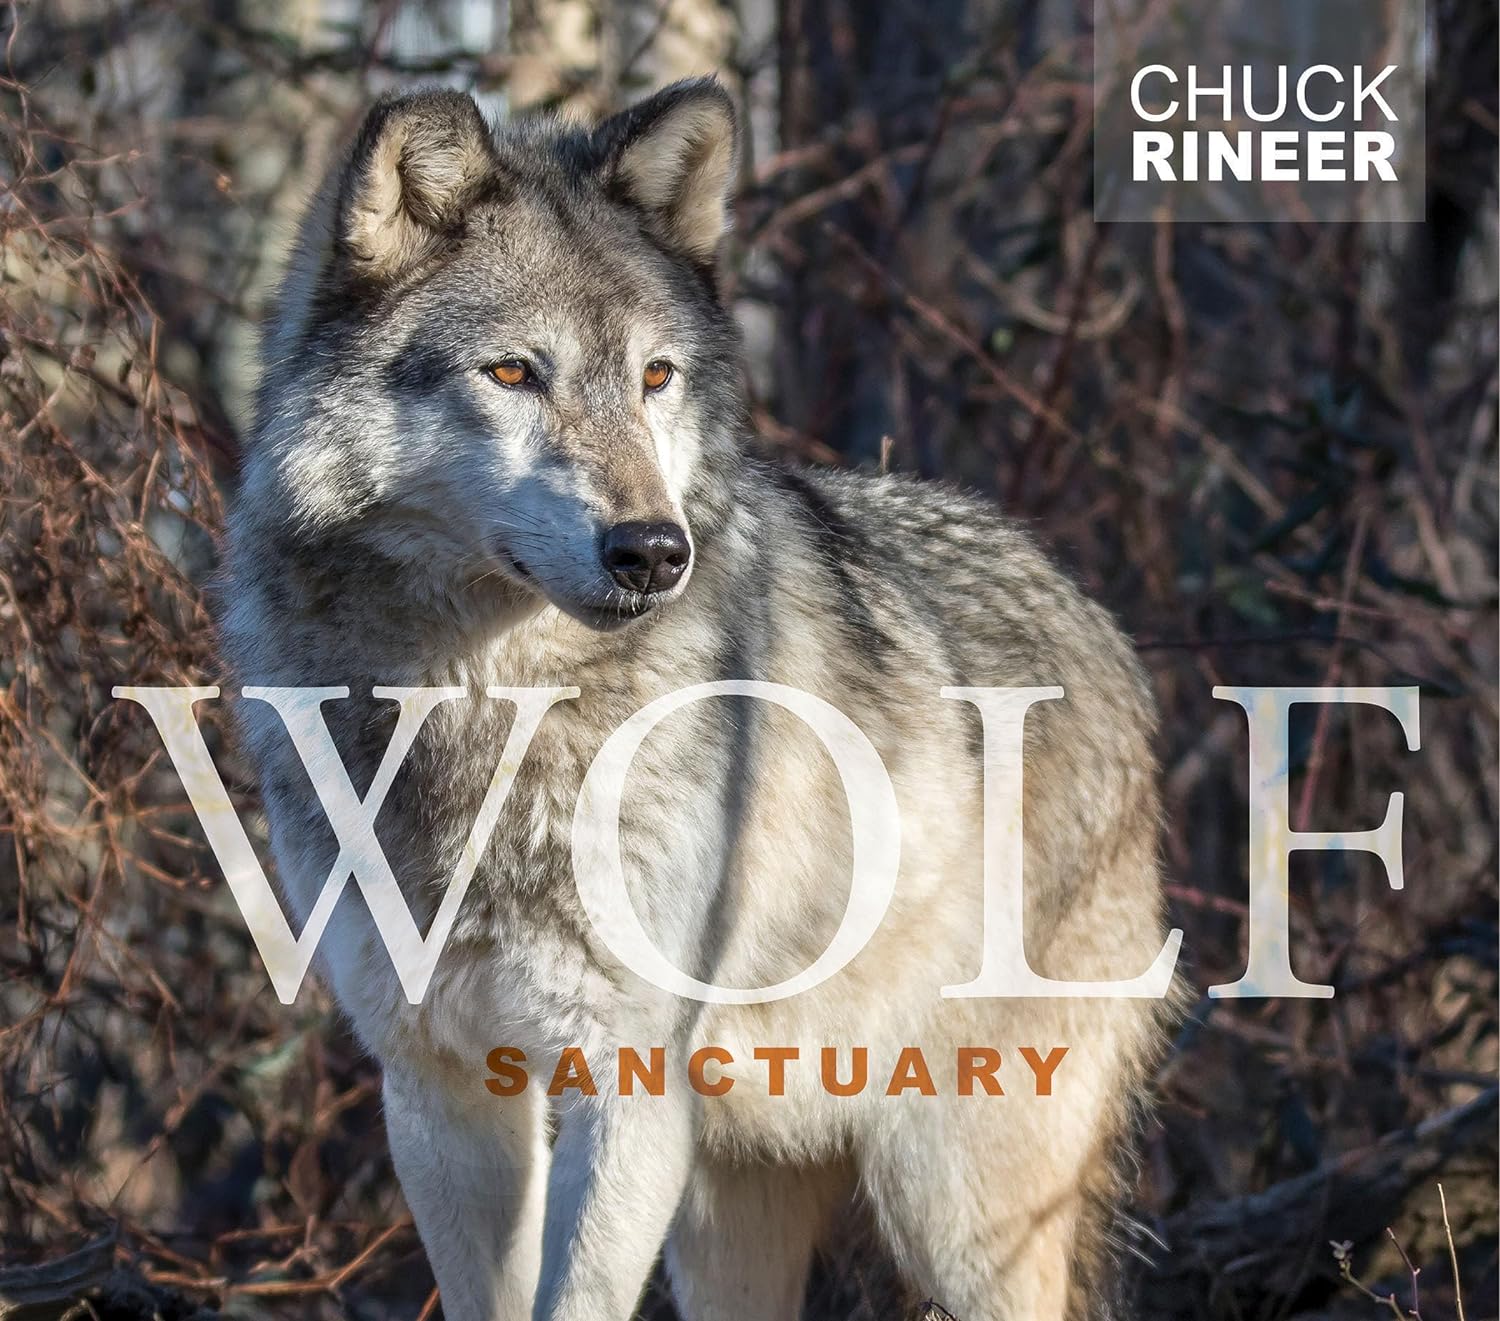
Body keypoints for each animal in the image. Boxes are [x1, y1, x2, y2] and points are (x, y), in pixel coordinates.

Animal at [218, 77, 1174, 1321]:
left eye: (656, 377)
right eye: (513, 373)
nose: (652, 550)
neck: (481, 708)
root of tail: (1092, 611)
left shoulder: (629, 1083)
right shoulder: (435, 1082)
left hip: (955, 1206)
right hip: (733, 1211)